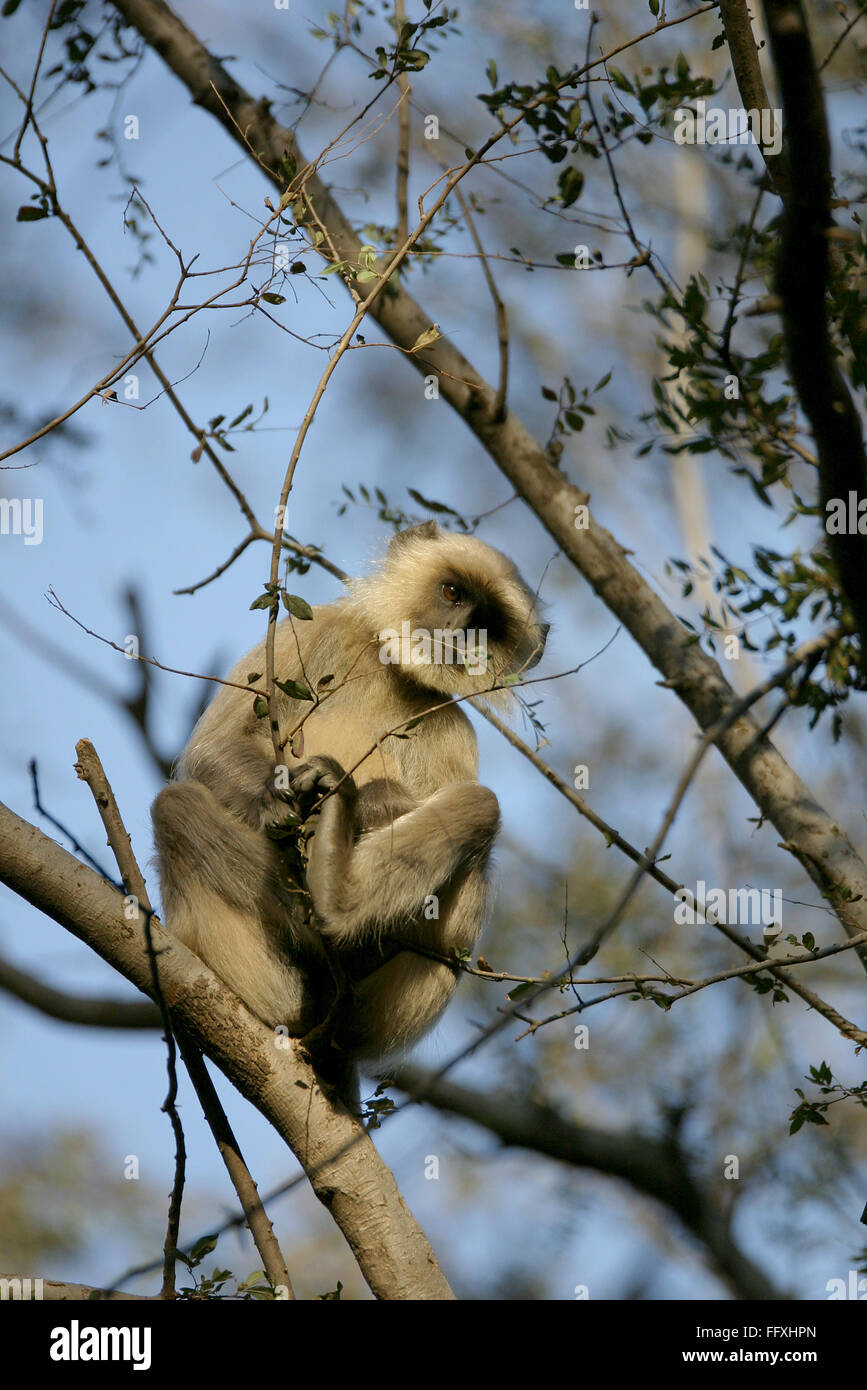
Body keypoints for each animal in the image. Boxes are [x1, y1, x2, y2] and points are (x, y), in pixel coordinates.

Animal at [151, 522, 544, 1061]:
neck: (394, 669)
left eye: (485, 622)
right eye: (452, 593)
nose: (459, 630)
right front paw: (271, 804)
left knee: (479, 805)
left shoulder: (450, 722)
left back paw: (339, 892)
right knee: (176, 807)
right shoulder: (318, 629)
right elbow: (216, 746)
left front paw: (367, 798)